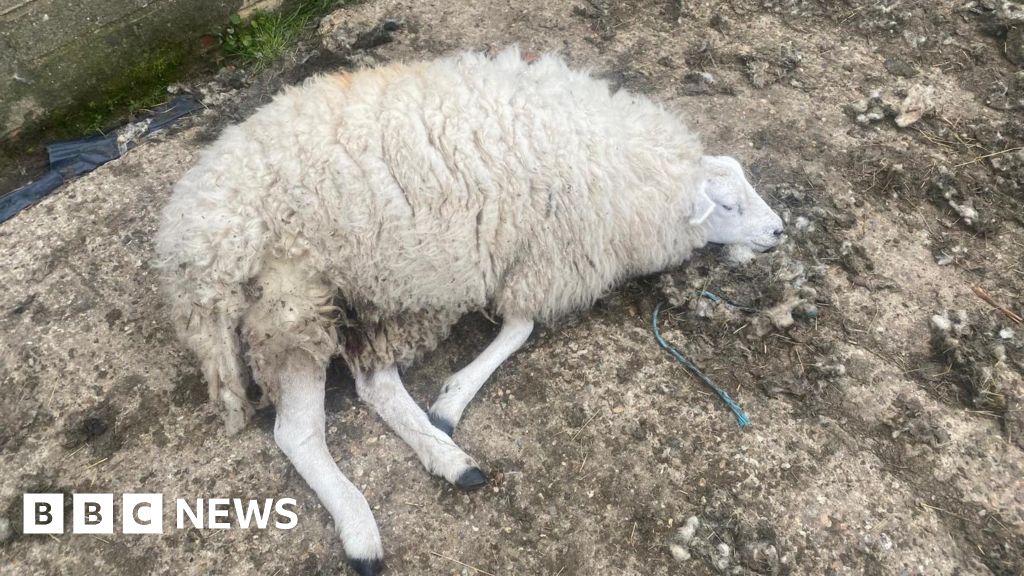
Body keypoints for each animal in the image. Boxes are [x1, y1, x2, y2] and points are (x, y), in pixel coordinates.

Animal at [154, 46, 783, 575]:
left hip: (375, 291)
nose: (779, 231)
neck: (624, 168)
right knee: (299, 432)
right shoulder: (541, 255)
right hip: (292, 306)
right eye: (728, 205)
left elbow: (513, 328)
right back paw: (362, 530)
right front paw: (456, 394)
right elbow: (522, 327)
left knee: (375, 385)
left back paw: (447, 457)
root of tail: (194, 237)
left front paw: (448, 406)